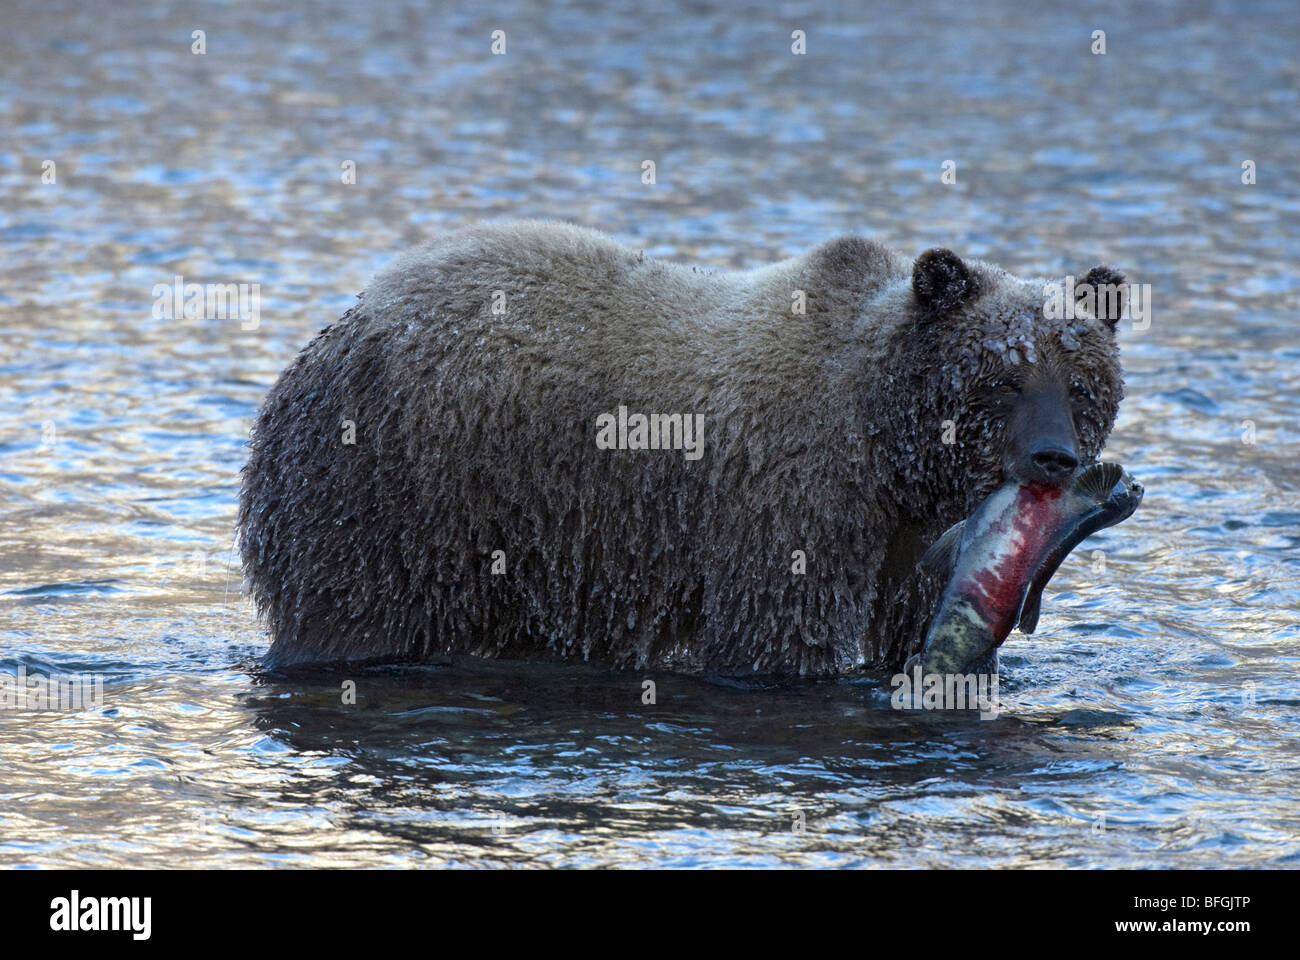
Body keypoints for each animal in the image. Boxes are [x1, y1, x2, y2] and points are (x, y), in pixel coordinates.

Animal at [238, 220, 1127, 676]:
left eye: (1081, 384)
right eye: (1002, 379)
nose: (1054, 457)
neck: (883, 450)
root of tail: (329, 337)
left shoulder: (907, 541)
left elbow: (905, 622)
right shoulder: (789, 501)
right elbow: (779, 634)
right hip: (398, 490)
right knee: (357, 609)